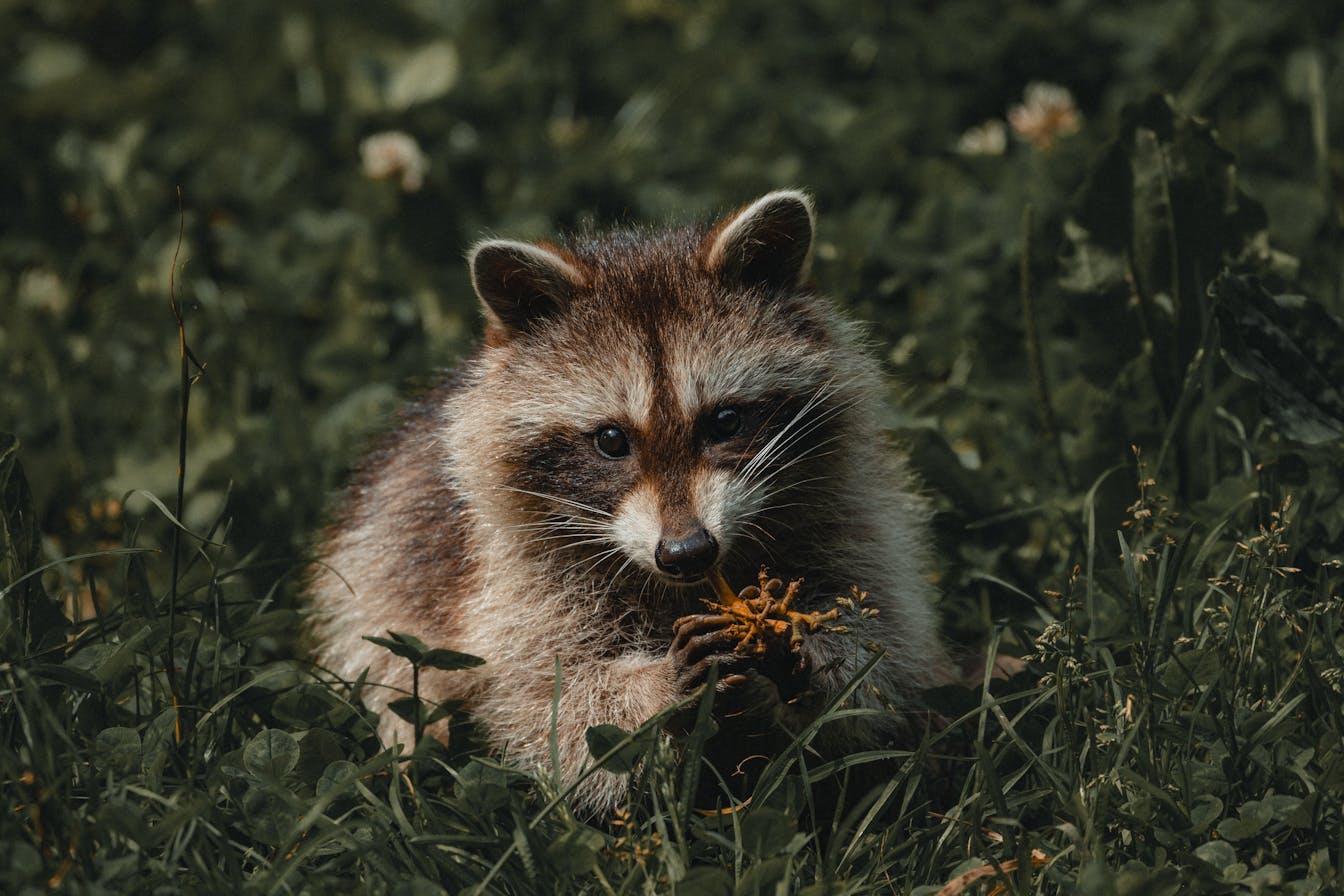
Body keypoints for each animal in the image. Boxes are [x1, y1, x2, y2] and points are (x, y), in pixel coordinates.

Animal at [306, 190, 948, 815]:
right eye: (612, 440)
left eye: (726, 421)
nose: (688, 552)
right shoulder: (512, 582)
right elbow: (550, 706)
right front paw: (659, 686)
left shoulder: (850, 514)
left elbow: (880, 656)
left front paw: (809, 655)